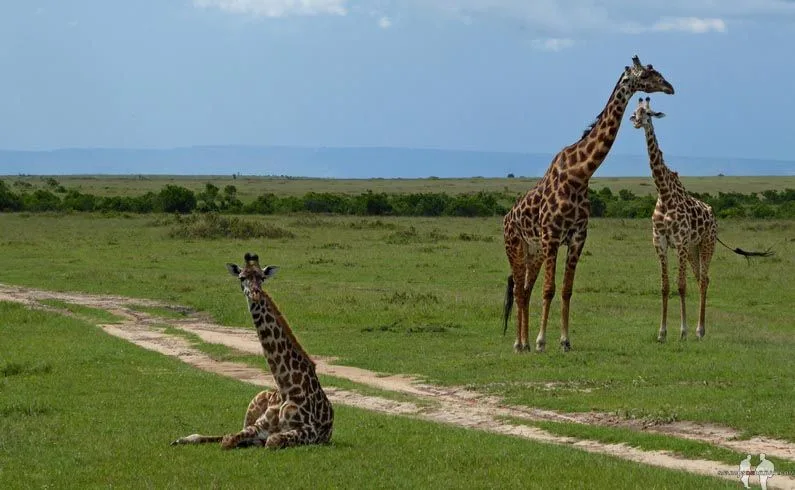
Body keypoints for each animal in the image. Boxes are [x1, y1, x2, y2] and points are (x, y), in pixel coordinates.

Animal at [171, 252, 333, 449]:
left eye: (262, 277)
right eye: (242, 277)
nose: (255, 293)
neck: (286, 387)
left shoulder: (310, 432)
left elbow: (271, 440)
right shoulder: (258, 426)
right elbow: (228, 439)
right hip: (254, 403)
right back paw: (183, 438)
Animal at [502, 55, 675, 353]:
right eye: (646, 74)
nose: (670, 87)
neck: (580, 173)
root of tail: (506, 218)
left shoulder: (577, 236)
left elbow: (565, 290)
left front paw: (564, 341)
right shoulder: (552, 236)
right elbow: (549, 289)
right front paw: (541, 341)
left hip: (533, 250)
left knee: (524, 289)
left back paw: (523, 343)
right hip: (515, 246)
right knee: (518, 290)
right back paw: (519, 343)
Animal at [629, 97, 773, 342]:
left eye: (649, 113)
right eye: (635, 112)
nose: (638, 123)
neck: (664, 195)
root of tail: (713, 216)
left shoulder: (680, 242)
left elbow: (681, 285)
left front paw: (683, 332)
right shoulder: (660, 242)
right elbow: (665, 286)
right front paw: (662, 333)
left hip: (706, 244)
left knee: (704, 279)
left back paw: (700, 330)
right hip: (693, 249)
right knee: (699, 278)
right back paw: (699, 328)